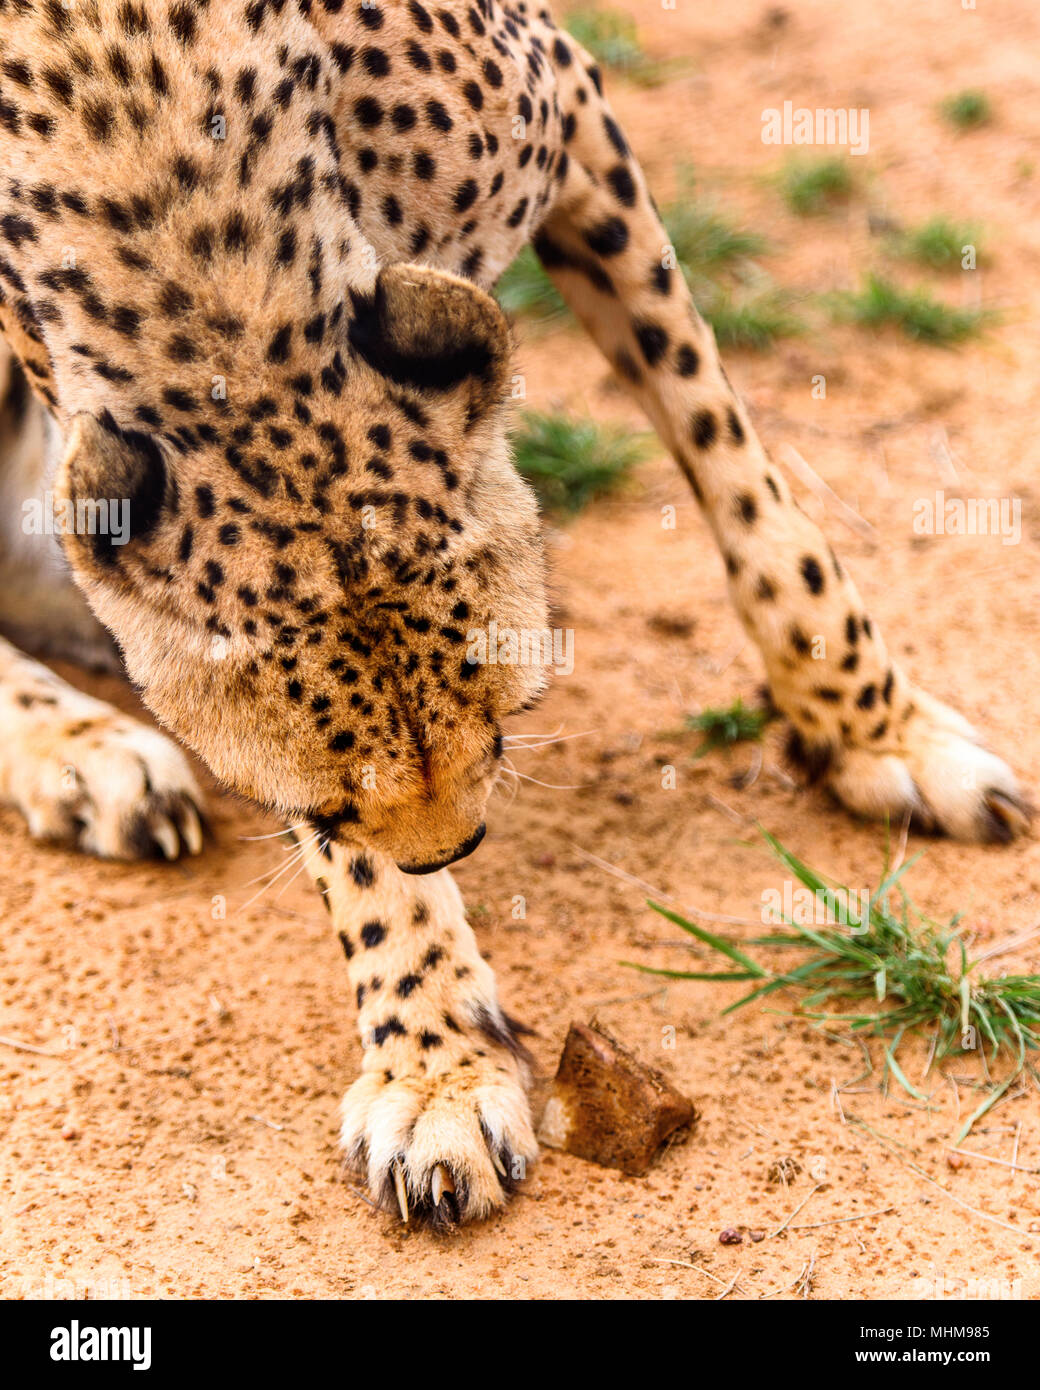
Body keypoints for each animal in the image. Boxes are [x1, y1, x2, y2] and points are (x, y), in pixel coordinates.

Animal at [0, 0, 1029, 1228]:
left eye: (504, 723)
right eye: (324, 805)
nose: (456, 847)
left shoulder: (578, 117)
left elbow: (737, 471)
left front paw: (876, 729)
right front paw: (437, 1058)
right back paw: (82, 751)